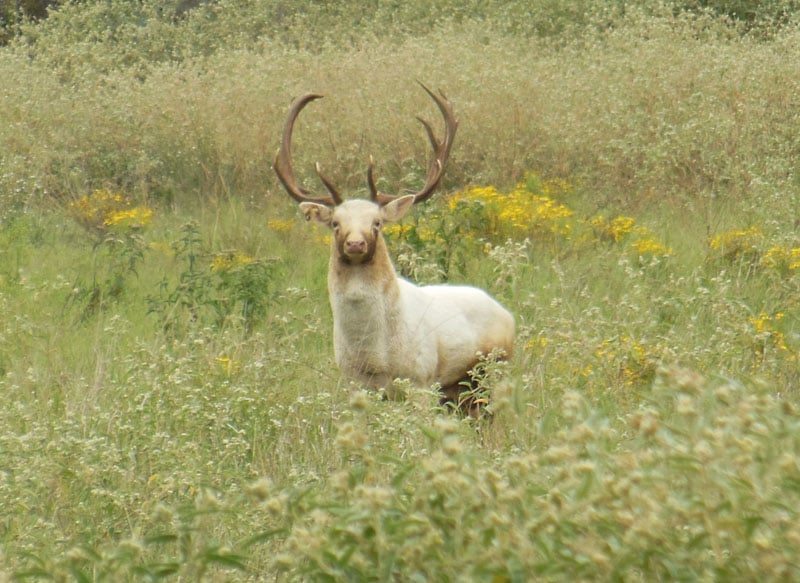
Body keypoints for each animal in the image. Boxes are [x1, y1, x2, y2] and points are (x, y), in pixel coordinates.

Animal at [273, 84, 515, 412]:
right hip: (457, 390)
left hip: (495, 371)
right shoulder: (353, 383)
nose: (356, 243)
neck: (375, 358)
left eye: (377, 222)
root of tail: (508, 315)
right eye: (335, 223)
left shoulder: (420, 379)